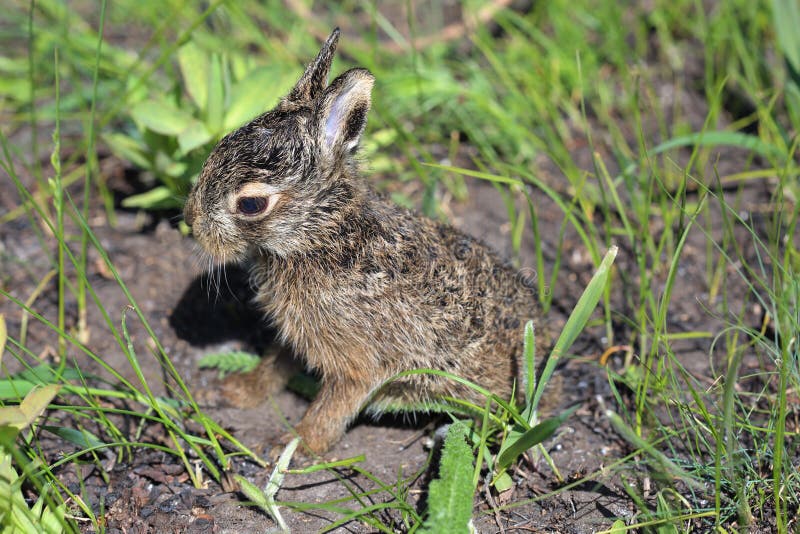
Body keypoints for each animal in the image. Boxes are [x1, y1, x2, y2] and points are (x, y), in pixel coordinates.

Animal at [183, 28, 541, 454]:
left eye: (251, 204)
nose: (191, 222)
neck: (320, 235)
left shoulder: (358, 362)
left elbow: (334, 405)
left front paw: (295, 445)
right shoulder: (297, 336)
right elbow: (274, 363)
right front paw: (236, 391)